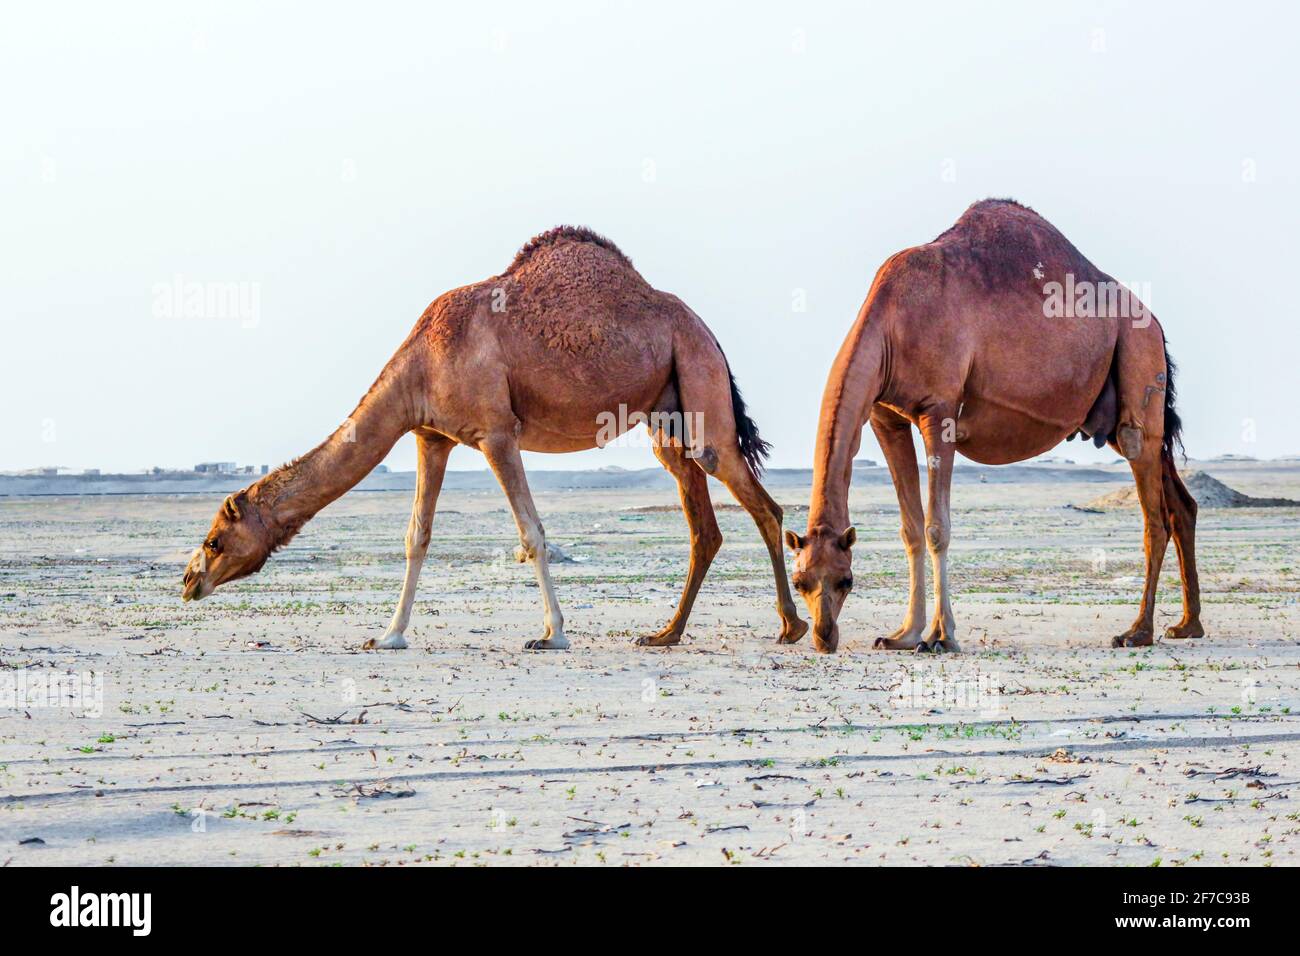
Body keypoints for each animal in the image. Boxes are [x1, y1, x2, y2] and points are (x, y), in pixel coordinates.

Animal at [182, 227, 807, 651]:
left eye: (214, 540)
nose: (188, 581)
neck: (421, 361)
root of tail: (706, 330)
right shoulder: (431, 436)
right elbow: (416, 536)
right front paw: (388, 636)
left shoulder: (496, 433)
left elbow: (531, 532)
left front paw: (553, 635)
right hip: (667, 418)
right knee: (704, 526)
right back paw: (664, 635)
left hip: (699, 383)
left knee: (763, 505)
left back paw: (792, 626)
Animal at [785, 199, 1202, 654]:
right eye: (800, 581)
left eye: (847, 580)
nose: (824, 637)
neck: (891, 327)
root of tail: (1156, 325)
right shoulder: (886, 415)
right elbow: (910, 529)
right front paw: (902, 635)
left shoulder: (939, 409)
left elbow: (936, 527)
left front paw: (940, 636)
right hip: (1118, 416)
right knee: (1181, 504)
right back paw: (1187, 625)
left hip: (1138, 362)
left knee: (1152, 511)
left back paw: (1136, 631)